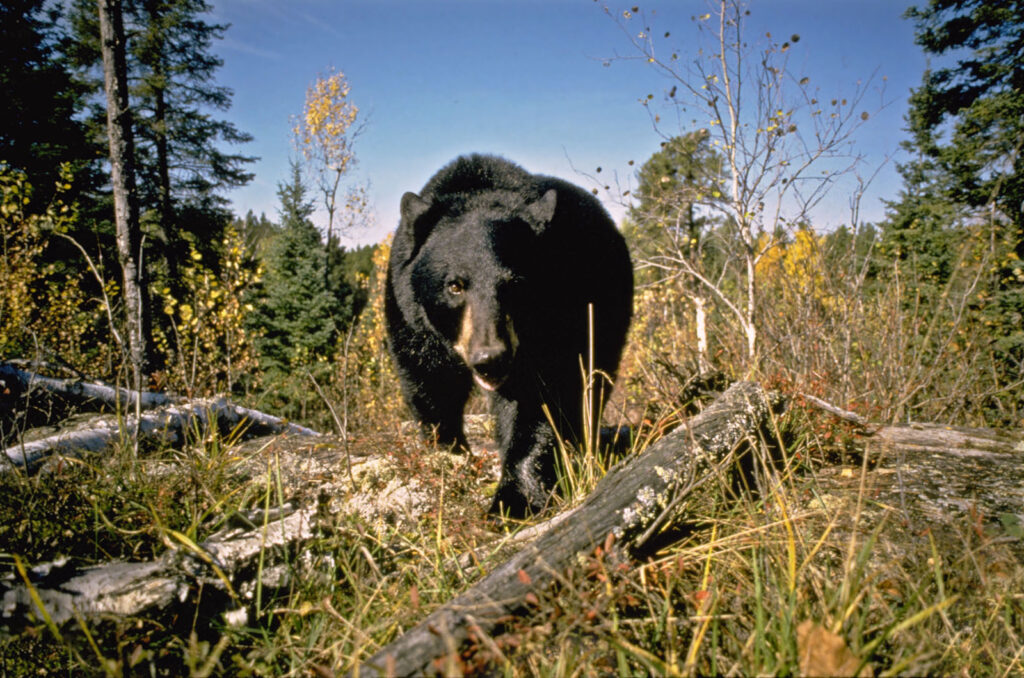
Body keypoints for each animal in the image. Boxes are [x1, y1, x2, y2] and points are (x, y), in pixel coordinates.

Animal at [384, 154, 633, 517]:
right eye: (454, 285)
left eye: (515, 283)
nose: (491, 358)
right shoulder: (409, 317)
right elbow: (430, 386)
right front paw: (449, 454)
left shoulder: (556, 321)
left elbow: (540, 400)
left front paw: (514, 499)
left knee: (593, 381)